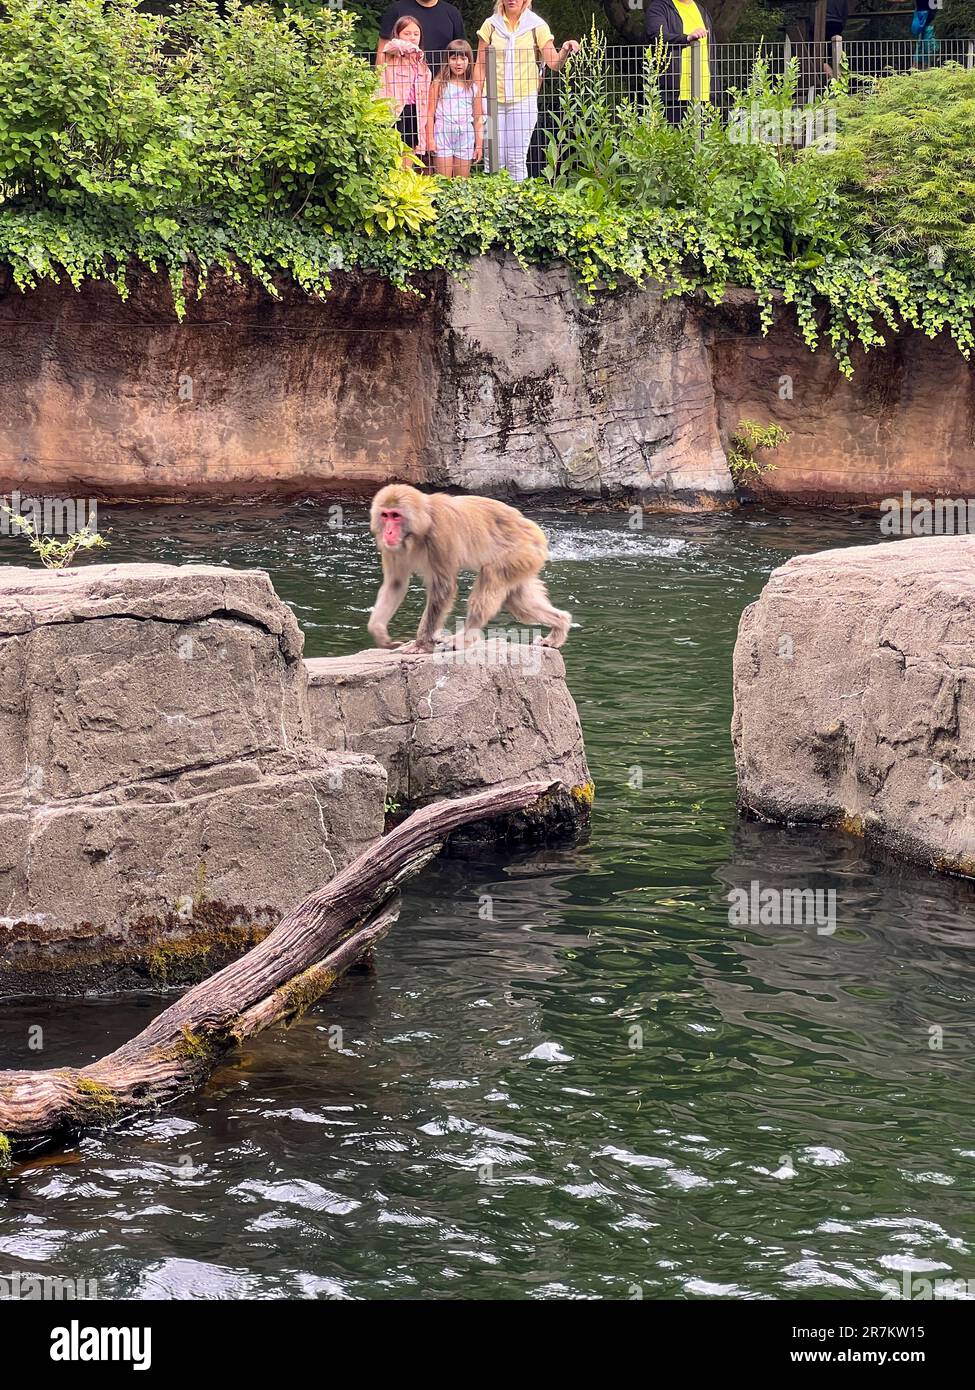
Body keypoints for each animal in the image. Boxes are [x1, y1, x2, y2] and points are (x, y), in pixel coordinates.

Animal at [367, 484, 572, 654]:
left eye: (396, 515)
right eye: (385, 515)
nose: (388, 532)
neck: (418, 529)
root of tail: (537, 533)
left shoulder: (441, 535)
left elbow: (443, 588)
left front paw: (422, 644)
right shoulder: (391, 548)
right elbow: (395, 584)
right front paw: (379, 632)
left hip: (519, 553)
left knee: (491, 578)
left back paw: (465, 638)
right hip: (525, 561)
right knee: (520, 603)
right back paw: (560, 625)